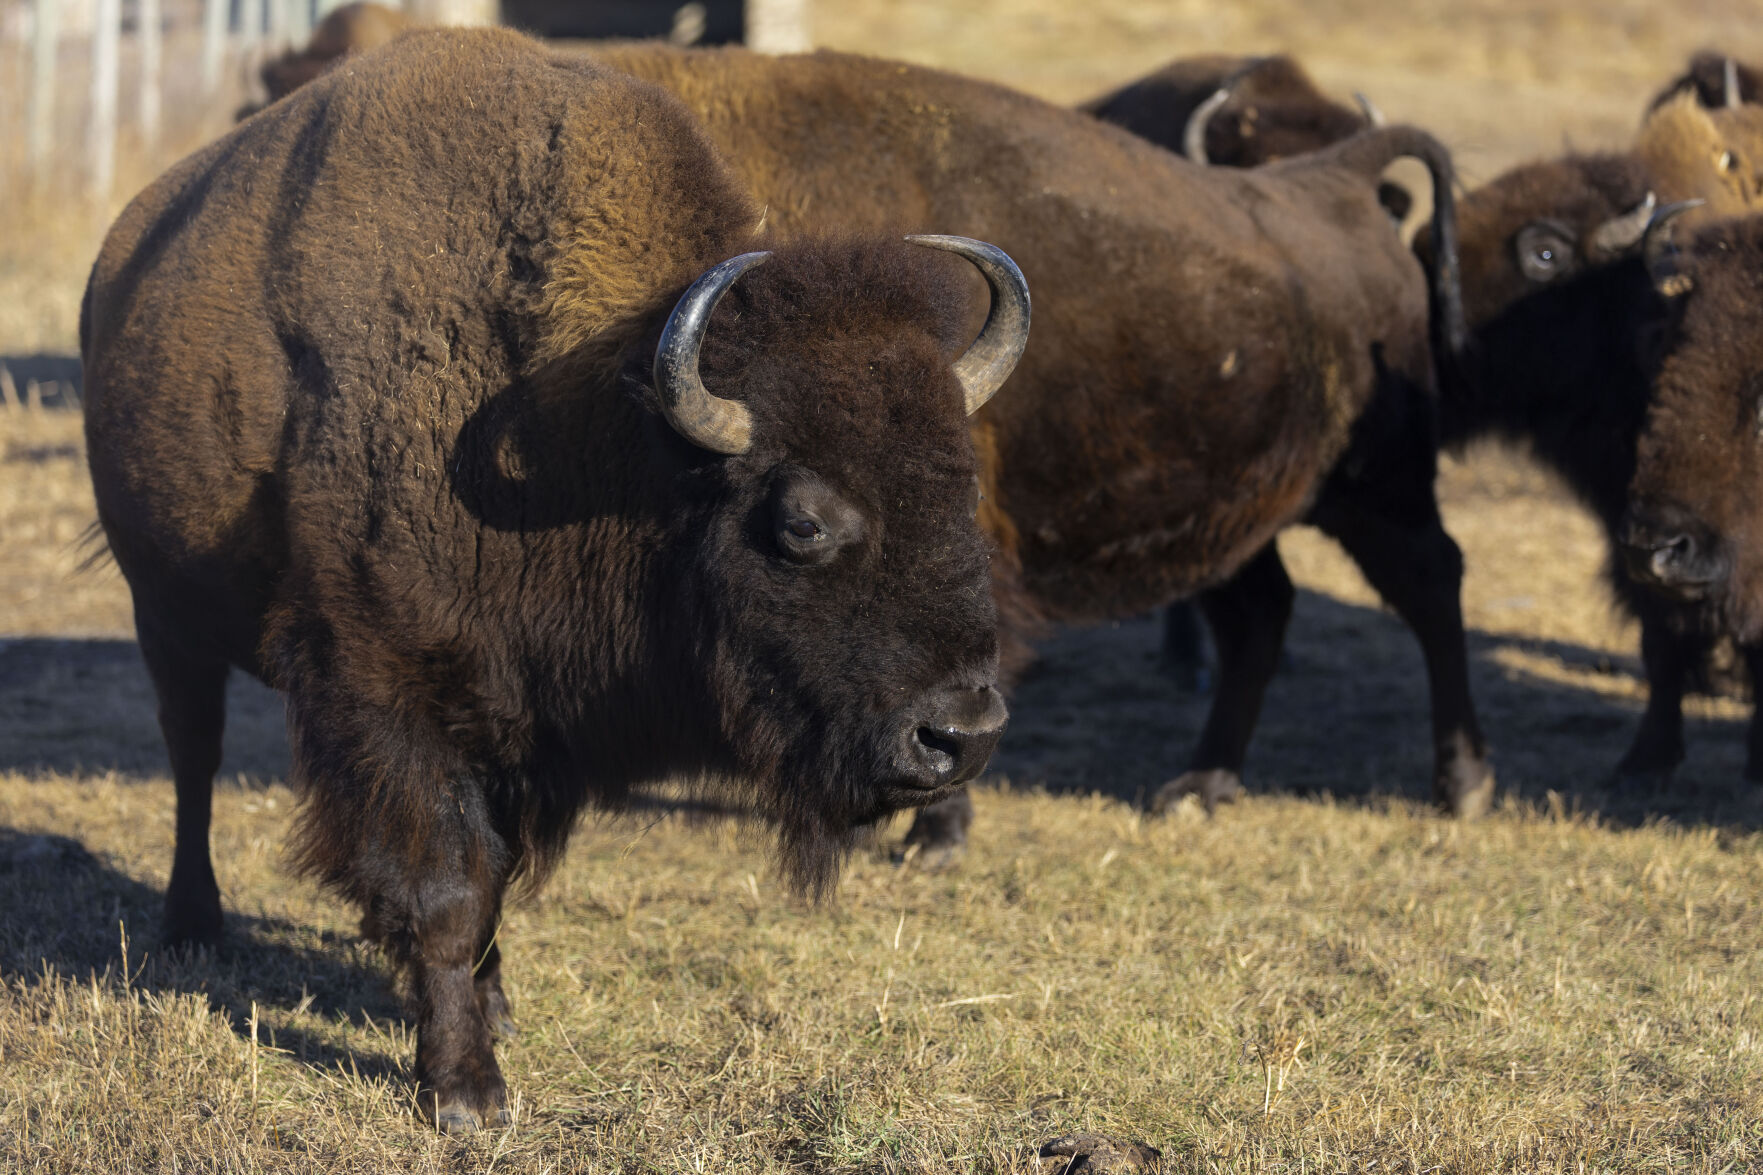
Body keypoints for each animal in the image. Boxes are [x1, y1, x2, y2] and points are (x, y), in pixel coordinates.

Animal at [84, 29, 1030, 1131]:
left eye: (961, 485)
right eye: (801, 521)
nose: (962, 732)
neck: (596, 431)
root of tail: (118, 263)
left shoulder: (514, 724)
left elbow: (493, 876)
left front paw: (490, 1010)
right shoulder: (390, 693)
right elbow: (447, 890)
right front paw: (464, 1092)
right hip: (165, 614)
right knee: (192, 757)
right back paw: (192, 923)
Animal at [589, 42, 1488, 842]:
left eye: (805, 523)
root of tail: (1338, 181)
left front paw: (937, 833)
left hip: (1381, 487)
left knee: (1431, 583)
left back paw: (1461, 786)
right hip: (1238, 516)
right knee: (1260, 616)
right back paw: (1198, 787)